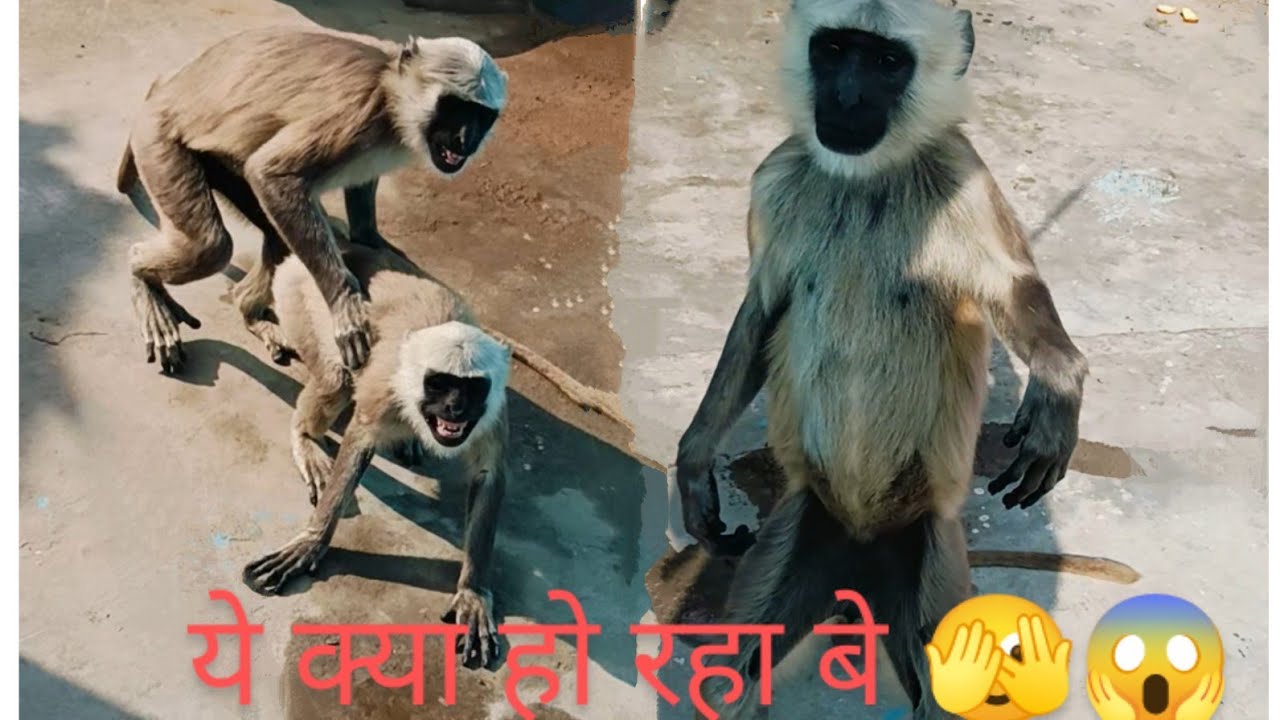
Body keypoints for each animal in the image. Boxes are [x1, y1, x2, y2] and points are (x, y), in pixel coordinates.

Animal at [114, 27, 507, 375]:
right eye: (455, 109)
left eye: (481, 117)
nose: (466, 140)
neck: (389, 87)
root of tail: (165, 89)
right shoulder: (358, 112)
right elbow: (270, 173)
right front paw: (344, 304)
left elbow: (360, 202)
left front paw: (374, 244)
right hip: (157, 141)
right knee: (210, 246)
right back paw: (140, 275)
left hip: (219, 164)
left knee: (275, 239)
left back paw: (249, 312)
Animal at [671, 1, 1089, 717]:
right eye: (835, 51)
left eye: (887, 62)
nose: (845, 98)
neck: (866, 183)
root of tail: (861, 548)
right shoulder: (774, 182)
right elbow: (761, 312)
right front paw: (695, 464)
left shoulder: (962, 180)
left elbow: (1015, 290)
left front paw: (1058, 381)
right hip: (806, 524)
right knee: (733, 672)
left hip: (926, 546)